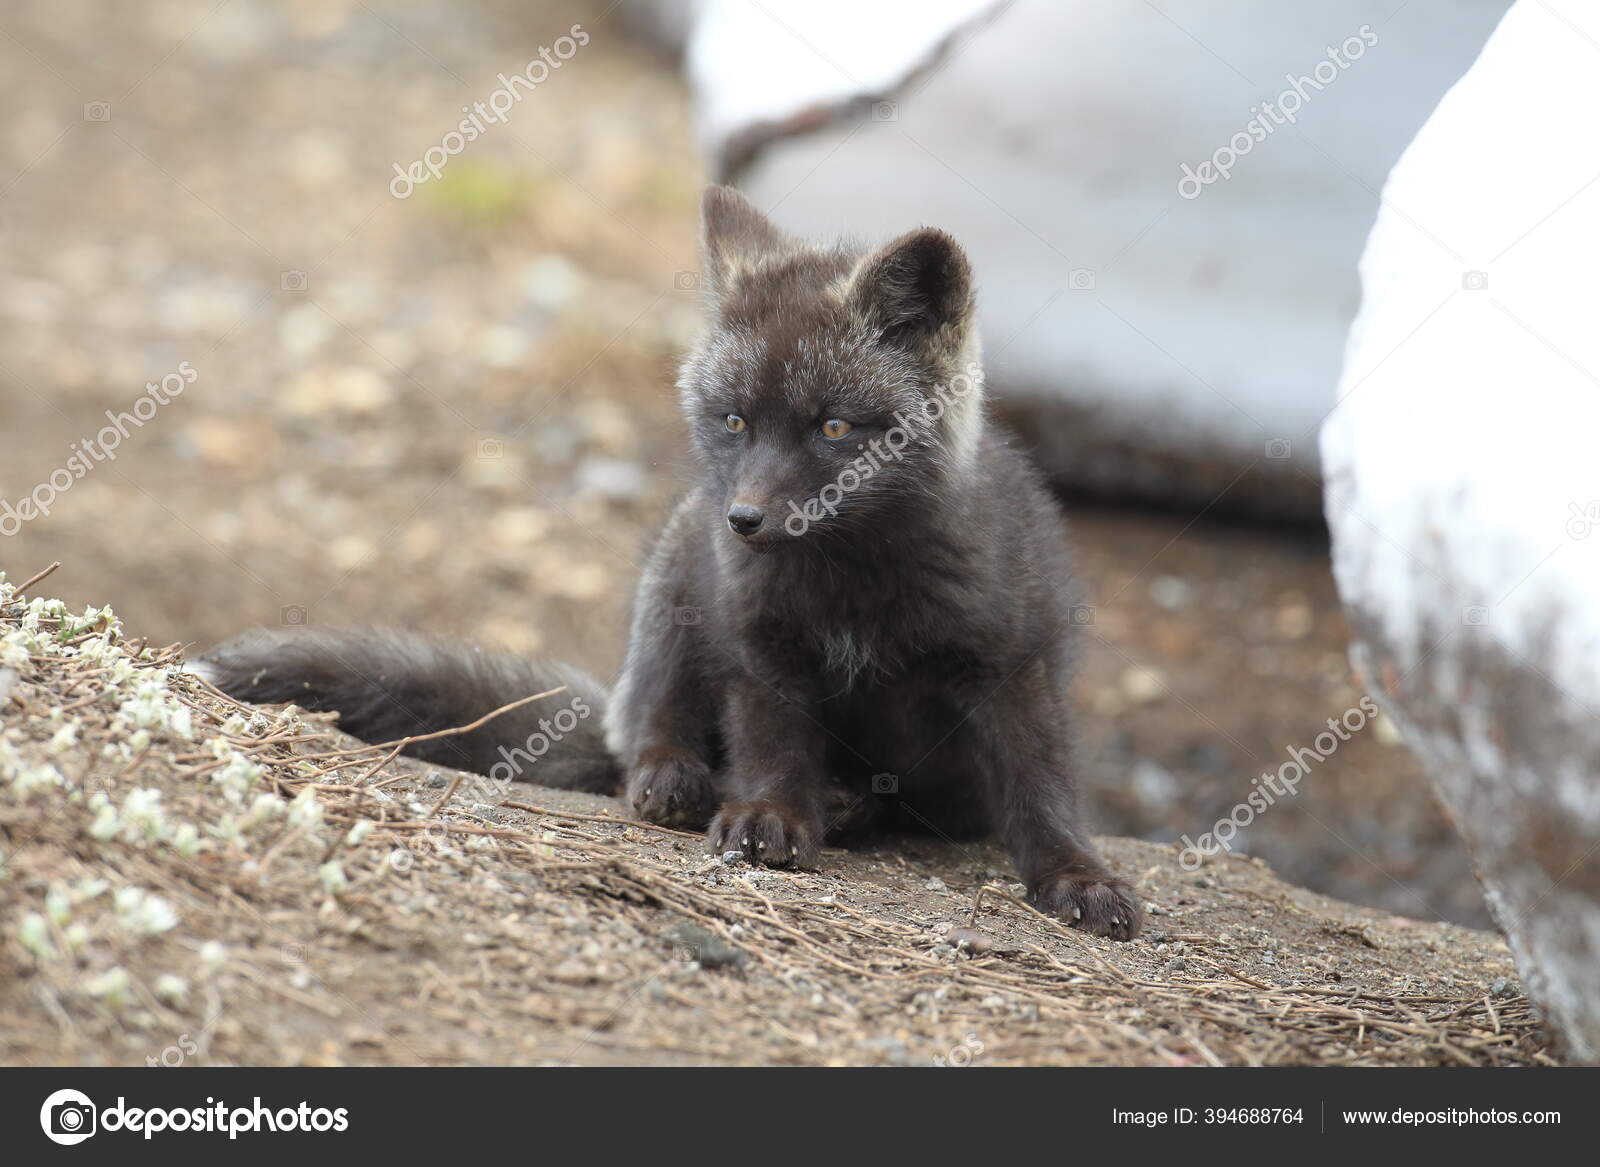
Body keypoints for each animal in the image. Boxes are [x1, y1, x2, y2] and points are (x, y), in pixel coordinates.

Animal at [194, 186, 1143, 939]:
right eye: (734, 421)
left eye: (834, 427)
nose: (746, 520)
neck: (855, 591)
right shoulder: (760, 649)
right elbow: (770, 746)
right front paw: (768, 816)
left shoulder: (1010, 667)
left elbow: (1044, 792)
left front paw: (1079, 879)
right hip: (676, 584)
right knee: (648, 732)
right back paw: (686, 780)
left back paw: (843, 801)